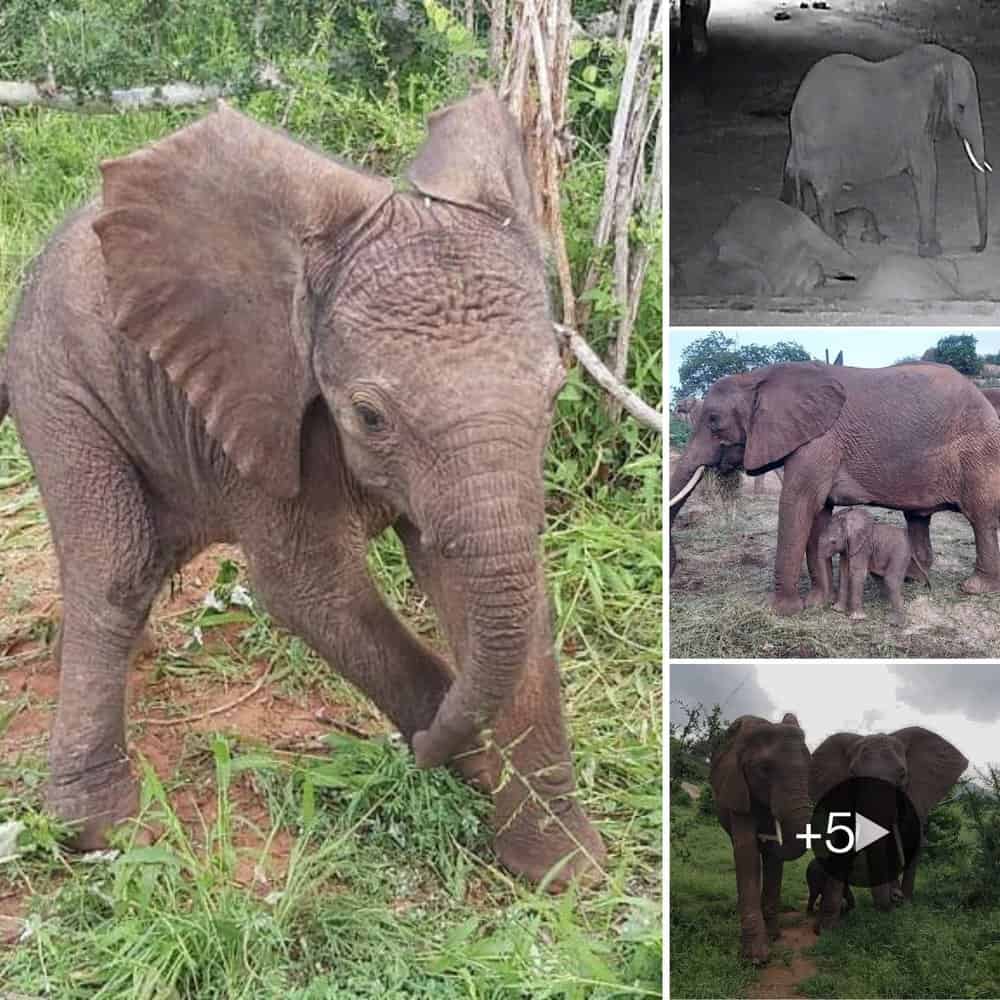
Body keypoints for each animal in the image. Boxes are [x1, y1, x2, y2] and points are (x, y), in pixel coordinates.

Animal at [0, 90, 606, 888]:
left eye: (555, 392)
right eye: (369, 416)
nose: (426, 751)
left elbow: (483, 583)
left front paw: (566, 872)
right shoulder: (259, 401)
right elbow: (309, 590)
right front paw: (467, 761)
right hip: (58, 385)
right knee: (117, 564)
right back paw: (100, 829)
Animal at [669, 361, 1000, 614]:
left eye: (714, 421)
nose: (672, 570)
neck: (756, 378)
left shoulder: (819, 443)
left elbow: (798, 505)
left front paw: (784, 611)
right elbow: (818, 515)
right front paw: (818, 603)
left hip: (978, 455)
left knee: (980, 517)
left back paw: (974, 588)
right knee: (918, 517)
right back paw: (913, 580)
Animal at [710, 714, 812, 964]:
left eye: (809, 768)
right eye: (764, 769)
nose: (765, 837)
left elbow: (773, 861)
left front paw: (774, 937)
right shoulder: (737, 790)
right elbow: (747, 855)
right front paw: (756, 958)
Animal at [782, 44, 989, 258]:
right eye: (961, 107)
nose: (974, 247)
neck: (940, 59)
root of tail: (795, 118)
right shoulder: (915, 124)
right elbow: (927, 174)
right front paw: (932, 253)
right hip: (823, 151)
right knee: (826, 196)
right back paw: (837, 246)